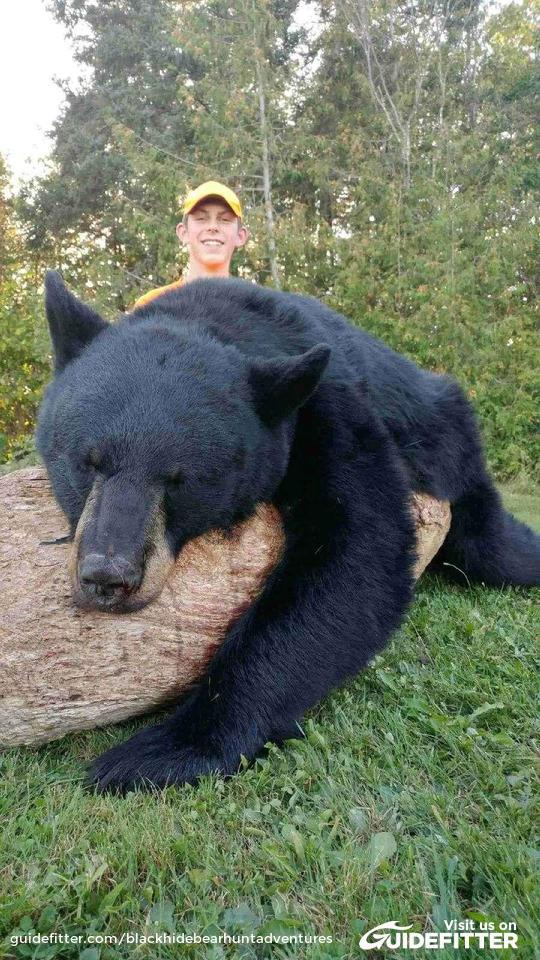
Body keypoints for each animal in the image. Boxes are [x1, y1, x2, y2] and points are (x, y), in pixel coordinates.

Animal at [36, 271, 540, 793]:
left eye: (179, 481)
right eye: (87, 462)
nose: (108, 576)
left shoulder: (330, 411)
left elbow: (358, 556)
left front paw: (169, 747)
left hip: (451, 449)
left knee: (493, 548)